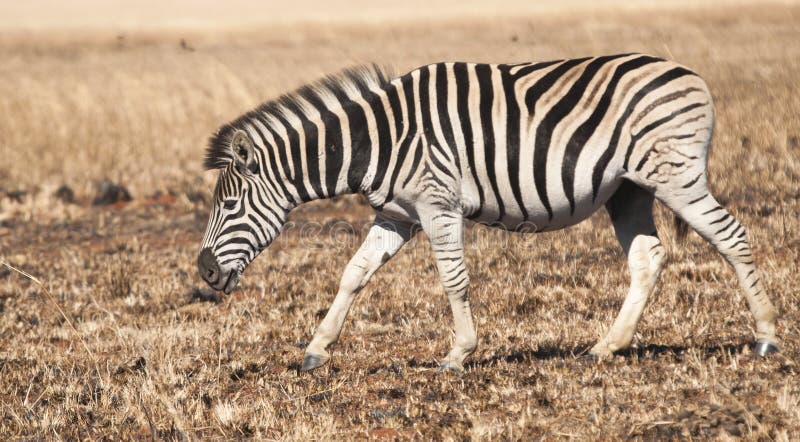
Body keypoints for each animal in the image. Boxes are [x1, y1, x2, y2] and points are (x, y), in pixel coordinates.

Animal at [198, 53, 779, 372]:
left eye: (229, 204)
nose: (203, 271)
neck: (377, 140)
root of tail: (690, 73)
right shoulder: (397, 214)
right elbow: (353, 274)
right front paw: (317, 349)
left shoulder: (438, 205)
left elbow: (453, 279)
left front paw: (459, 353)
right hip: (629, 189)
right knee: (648, 257)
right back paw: (606, 347)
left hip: (674, 176)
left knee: (732, 236)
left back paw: (767, 335)